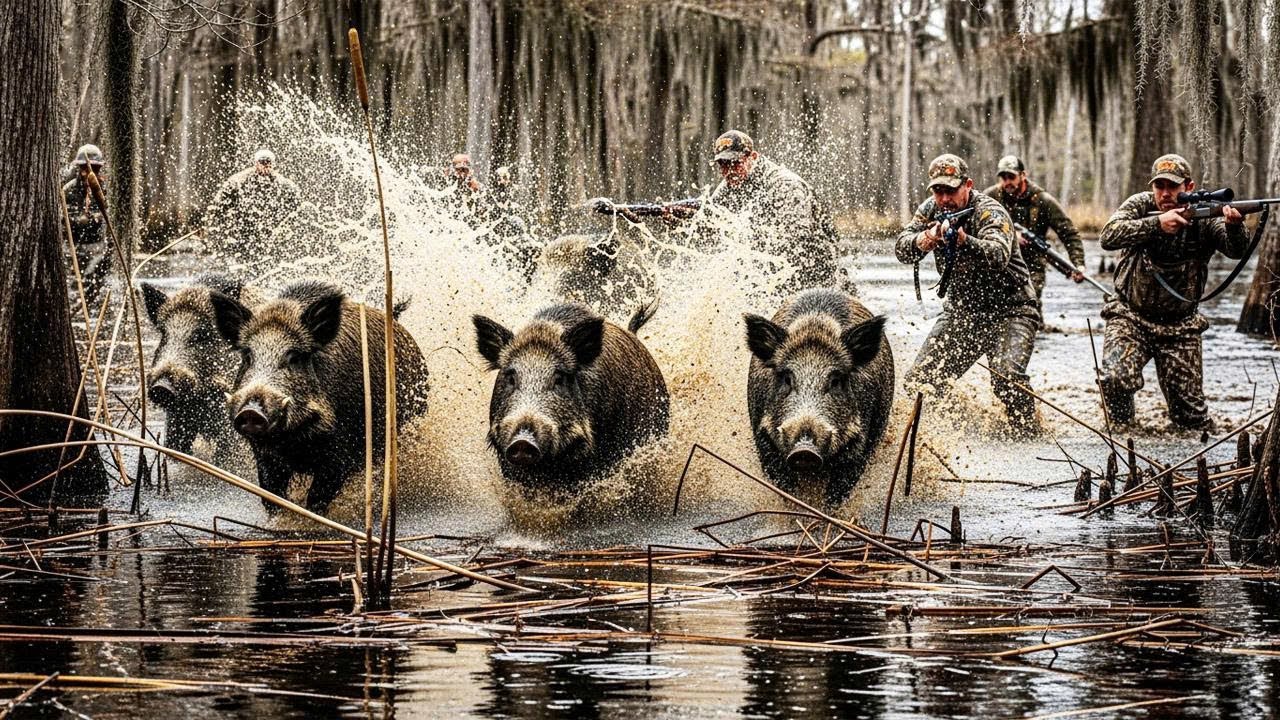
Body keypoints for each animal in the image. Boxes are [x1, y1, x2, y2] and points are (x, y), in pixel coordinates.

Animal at [209, 280, 430, 514]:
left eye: (294, 357)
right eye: (248, 356)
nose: (251, 412)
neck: (294, 439)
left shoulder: (341, 452)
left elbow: (317, 498)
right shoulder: (265, 456)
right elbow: (271, 496)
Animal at [744, 288, 894, 507]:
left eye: (835, 381)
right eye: (787, 378)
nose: (804, 451)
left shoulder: (860, 447)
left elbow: (837, 494)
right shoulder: (763, 440)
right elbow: (785, 489)